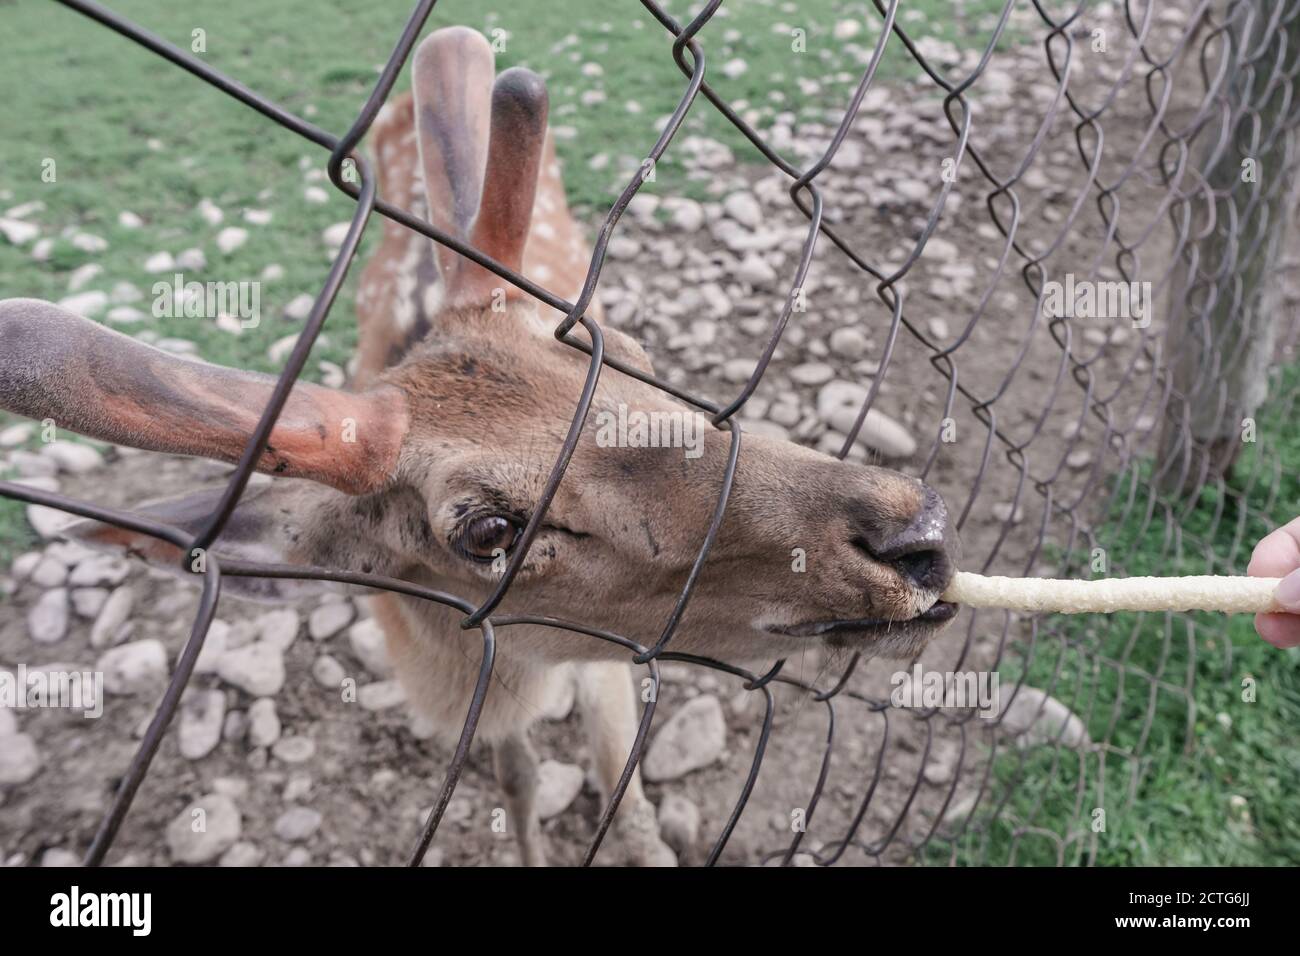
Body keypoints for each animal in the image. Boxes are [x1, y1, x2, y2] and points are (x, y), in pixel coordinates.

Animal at [0, 27, 959, 866]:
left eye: (638, 357)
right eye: (488, 531)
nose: (917, 532)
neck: (498, 674)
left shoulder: (604, 666)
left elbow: (623, 792)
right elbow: (519, 781)